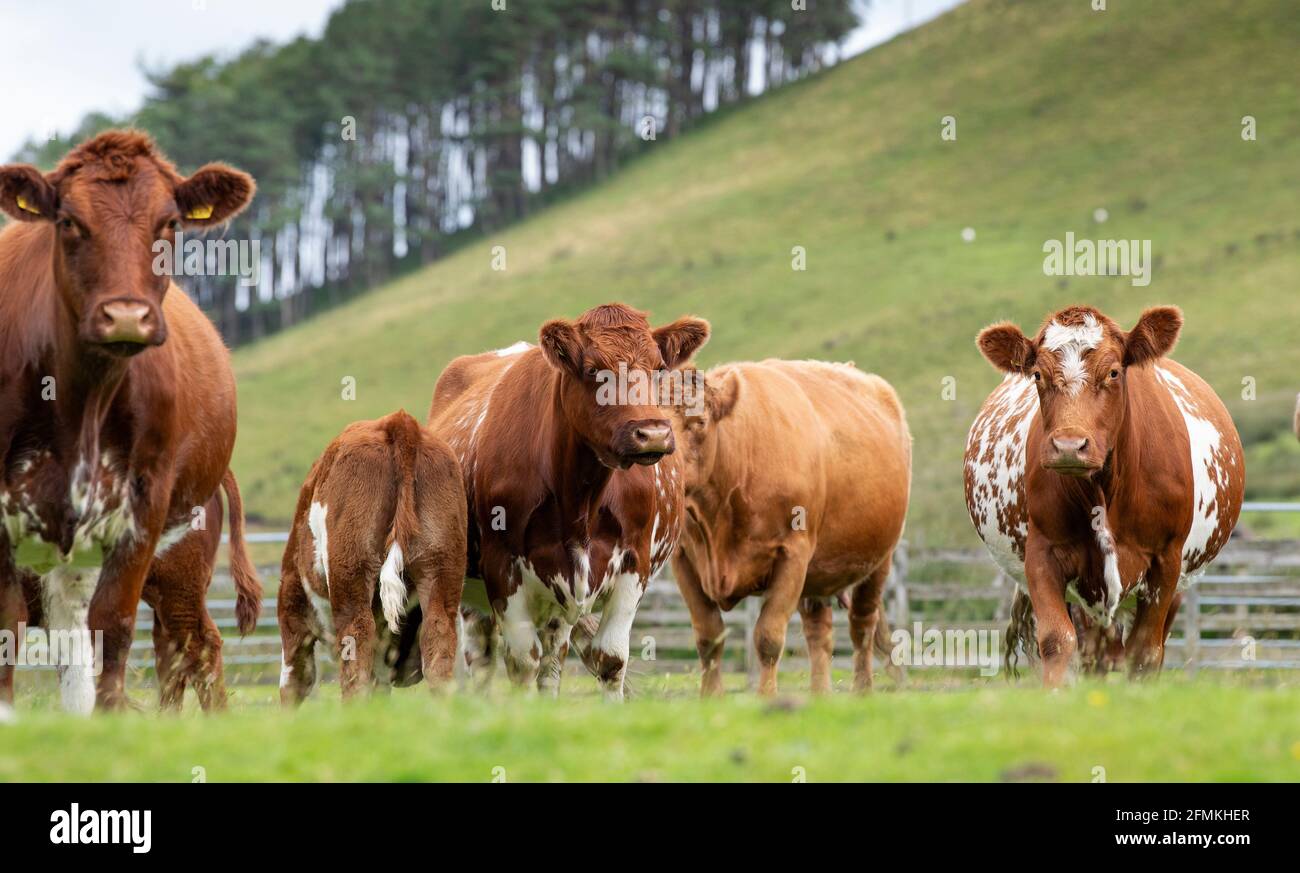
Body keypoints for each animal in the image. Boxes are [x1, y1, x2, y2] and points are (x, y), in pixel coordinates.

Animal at [0, 130, 261, 712]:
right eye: (68, 220)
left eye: (170, 224)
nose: (125, 316)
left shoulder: (142, 504)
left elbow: (112, 628)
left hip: (175, 575)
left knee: (193, 644)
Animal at [277, 410, 466, 702]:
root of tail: (397, 422)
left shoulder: (292, 612)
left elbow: (294, 681)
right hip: (441, 567)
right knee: (438, 638)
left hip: (351, 572)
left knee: (356, 639)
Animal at [427, 304, 709, 700]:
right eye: (593, 370)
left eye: (658, 368)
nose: (652, 433)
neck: (582, 498)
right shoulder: (502, 569)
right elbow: (522, 662)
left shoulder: (633, 565)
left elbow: (609, 659)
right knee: (482, 659)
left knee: (553, 659)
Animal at [667, 360, 911, 696]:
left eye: (699, 421)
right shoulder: (684, 559)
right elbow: (709, 637)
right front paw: (710, 698)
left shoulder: (792, 554)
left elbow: (768, 637)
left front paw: (766, 697)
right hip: (818, 572)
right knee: (819, 632)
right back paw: (819, 695)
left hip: (878, 561)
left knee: (861, 625)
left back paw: (862, 691)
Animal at [964, 305, 1244, 687]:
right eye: (1037, 374)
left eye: (1113, 372)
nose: (1069, 446)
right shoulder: (1042, 555)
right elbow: (1057, 640)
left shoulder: (1165, 563)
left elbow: (1145, 652)